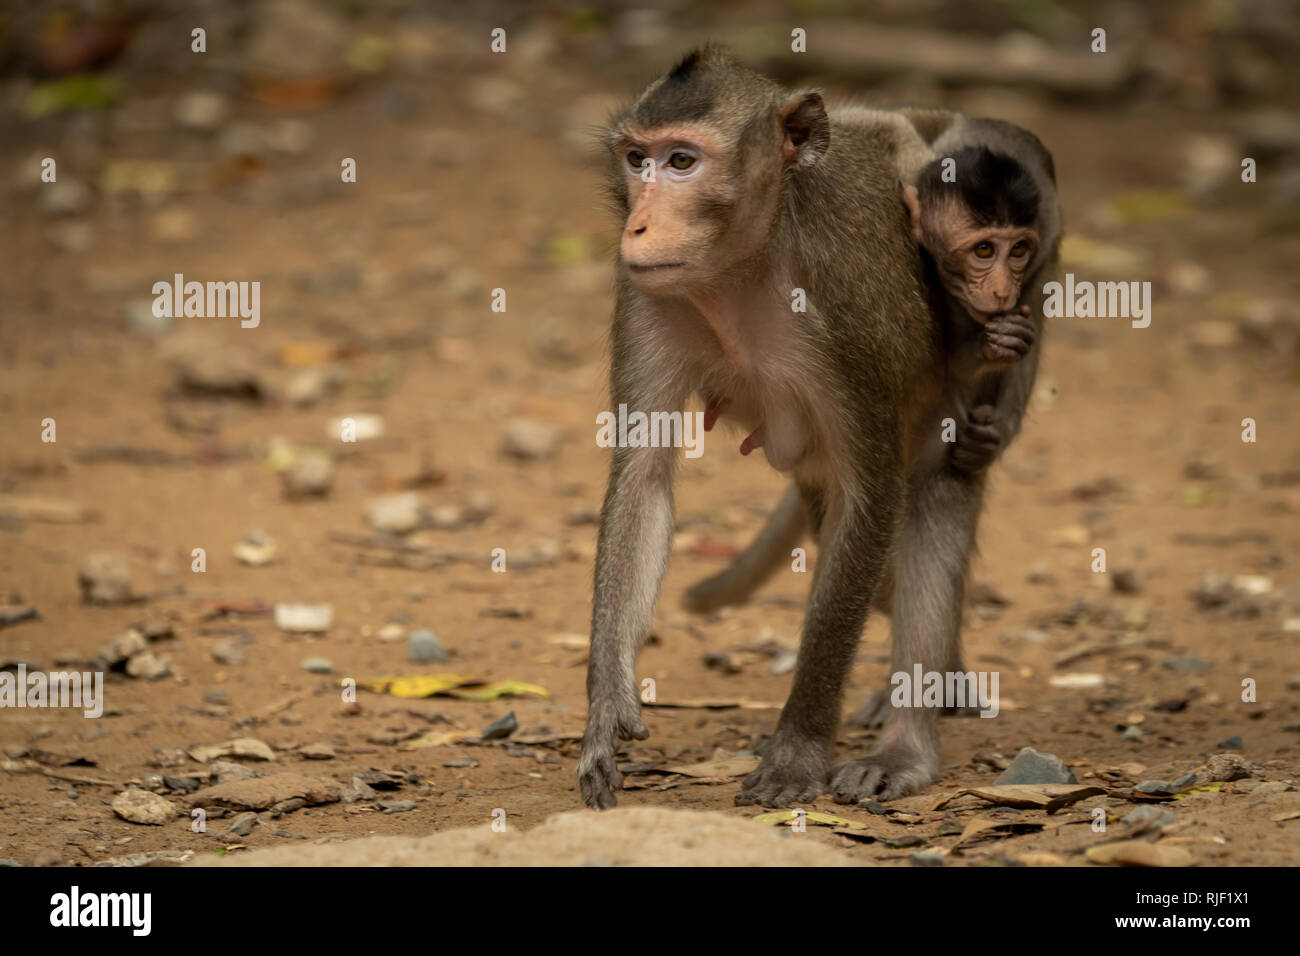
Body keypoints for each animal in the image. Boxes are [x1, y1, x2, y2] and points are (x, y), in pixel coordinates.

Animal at [581, 46, 977, 810]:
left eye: (682, 162)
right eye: (637, 160)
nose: (637, 226)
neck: (750, 262)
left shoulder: (846, 310)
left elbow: (872, 496)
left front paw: (797, 750)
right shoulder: (644, 294)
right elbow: (643, 478)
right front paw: (606, 707)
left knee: (926, 510)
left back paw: (907, 743)